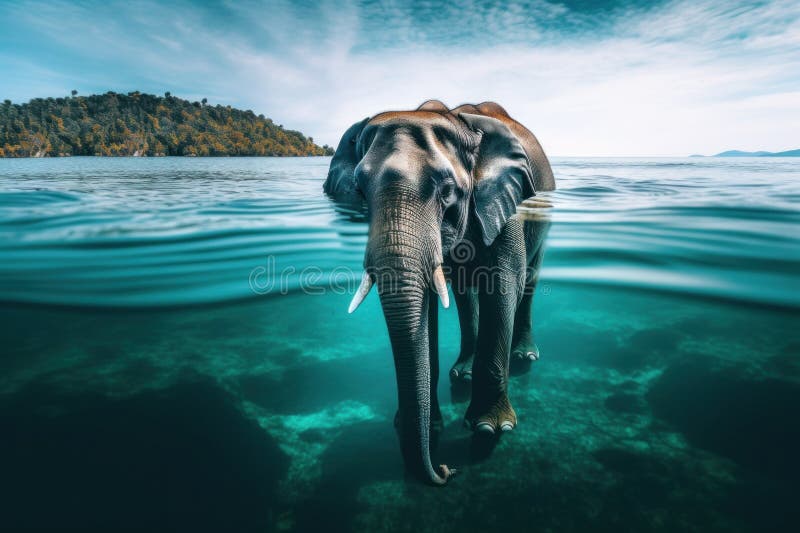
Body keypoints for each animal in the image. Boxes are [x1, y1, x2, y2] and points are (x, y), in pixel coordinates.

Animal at [324, 100, 555, 485]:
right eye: (359, 190)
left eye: (447, 191)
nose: (447, 470)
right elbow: (428, 305)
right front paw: (428, 429)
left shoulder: (502, 202)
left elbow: (505, 284)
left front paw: (490, 430)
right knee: (463, 295)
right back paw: (462, 373)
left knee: (529, 282)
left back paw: (524, 357)